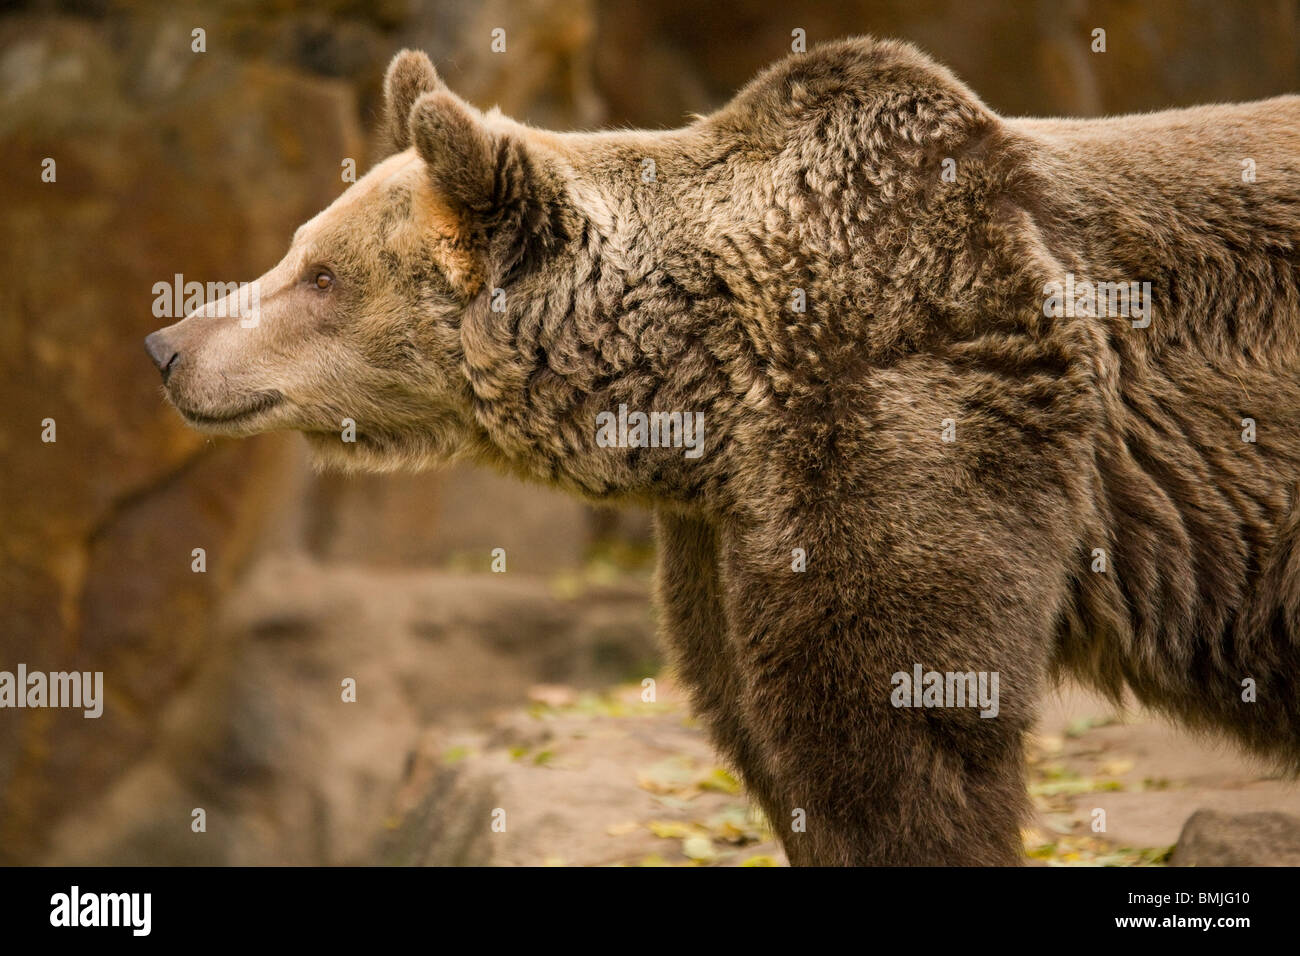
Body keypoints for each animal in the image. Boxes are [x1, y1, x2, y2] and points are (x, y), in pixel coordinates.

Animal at [145, 37, 1300, 866]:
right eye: (298, 246)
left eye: (320, 274)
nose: (169, 346)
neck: (705, 388)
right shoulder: (728, 514)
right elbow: (760, 718)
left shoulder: (920, 389)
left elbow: (895, 720)